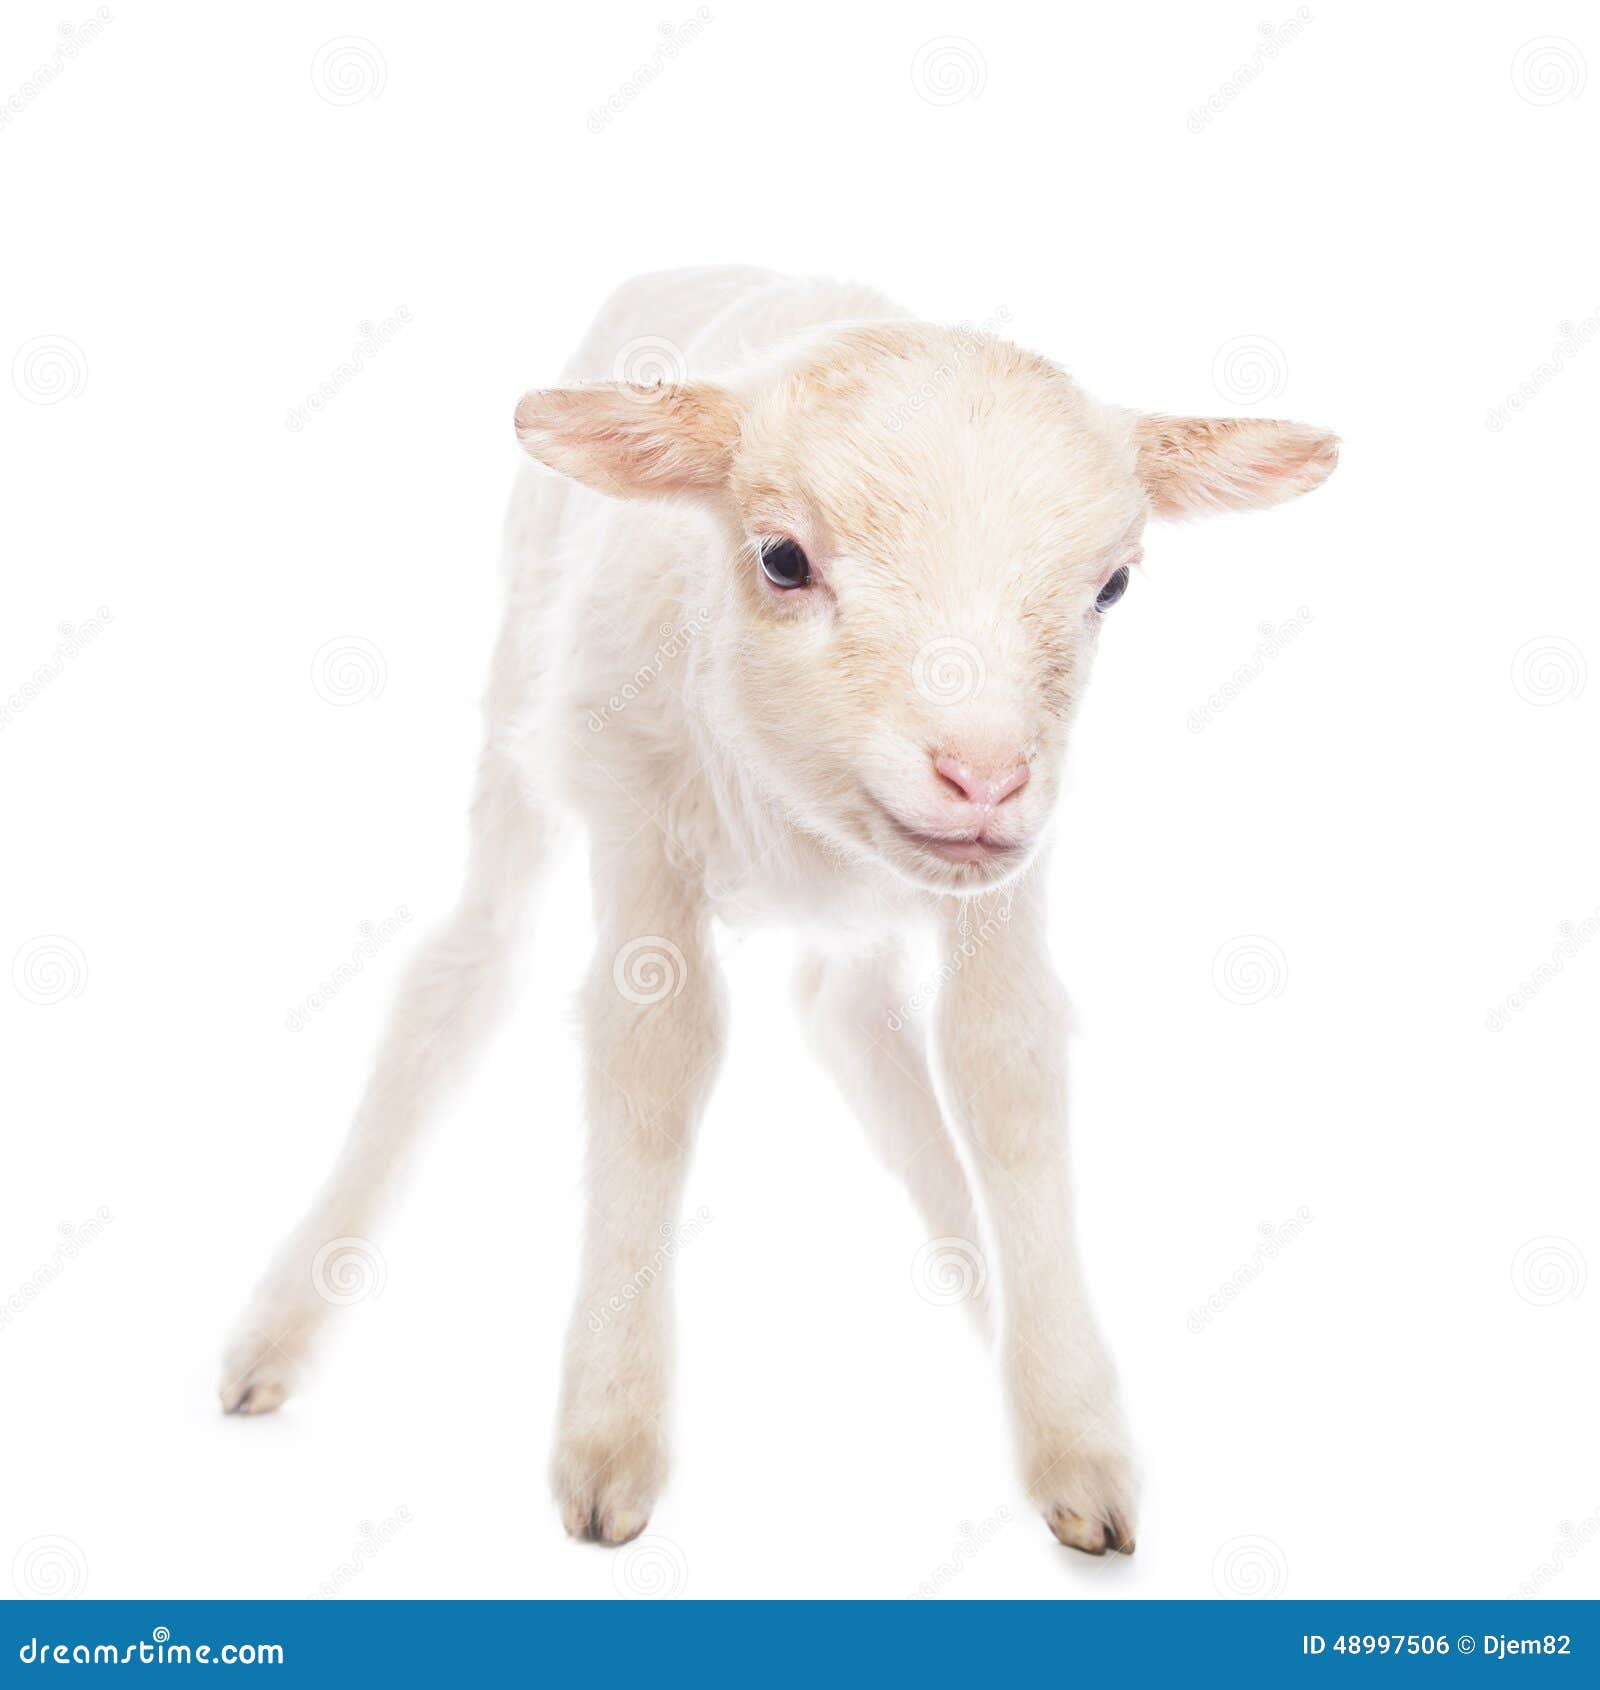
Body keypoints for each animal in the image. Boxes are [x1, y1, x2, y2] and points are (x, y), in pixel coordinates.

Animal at [220, 265, 1337, 1556]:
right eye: (783, 559)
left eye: (1110, 583)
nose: (982, 776)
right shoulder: (634, 807)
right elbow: (653, 1056)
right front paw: (610, 1436)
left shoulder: (1009, 876)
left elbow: (1003, 1064)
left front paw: (1072, 1429)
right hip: (521, 703)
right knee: (463, 971)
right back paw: (277, 1330)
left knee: (853, 1018)